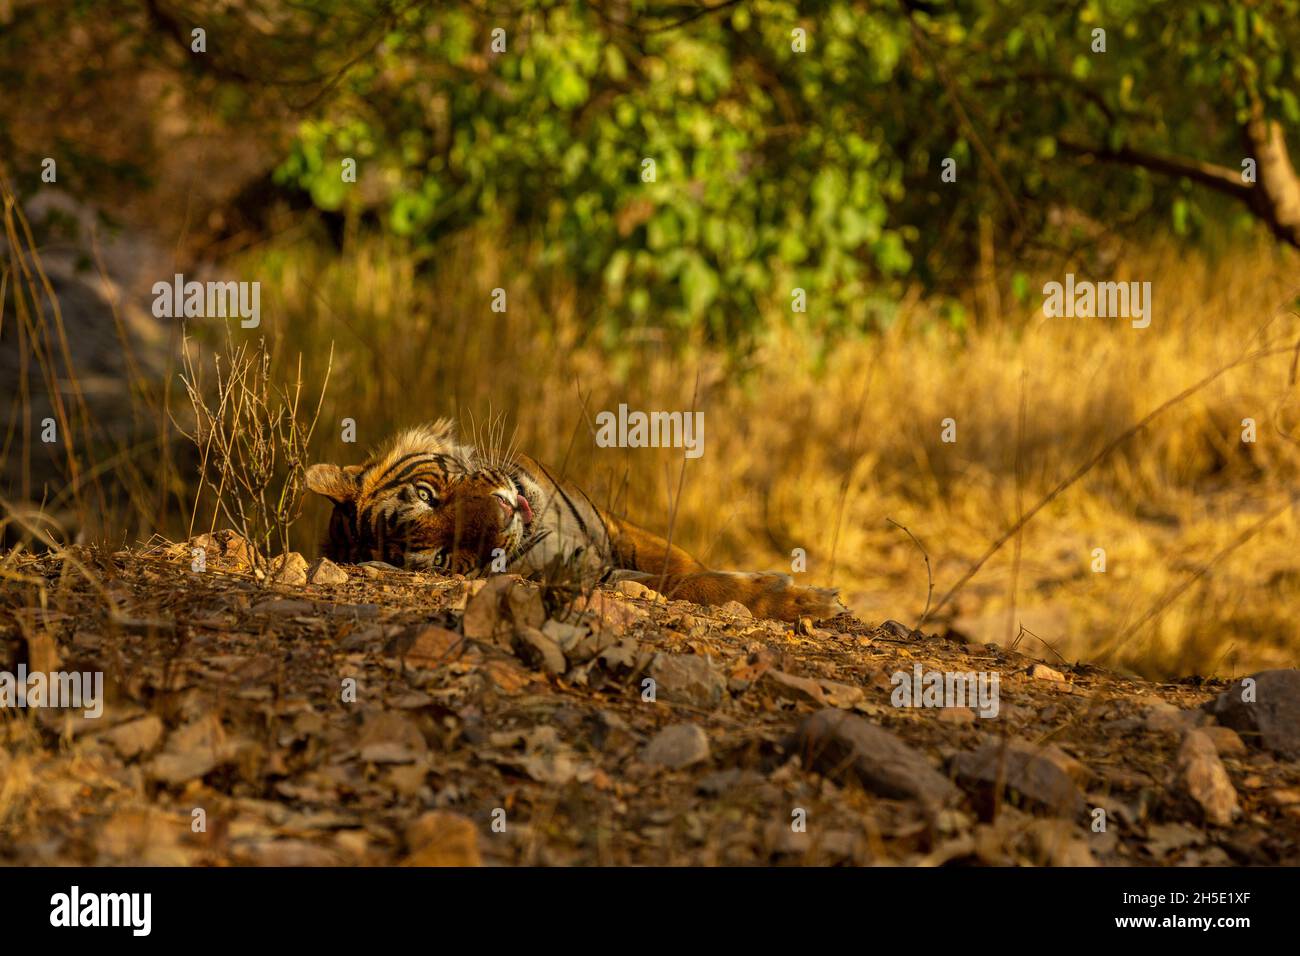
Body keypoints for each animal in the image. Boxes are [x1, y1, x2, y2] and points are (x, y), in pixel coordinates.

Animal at [305, 420, 848, 623]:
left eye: (428, 496)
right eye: (443, 559)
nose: (505, 512)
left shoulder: (617, 526)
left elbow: (687, 566)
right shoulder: (594, 574)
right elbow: (690, 586)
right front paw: (808, 600)